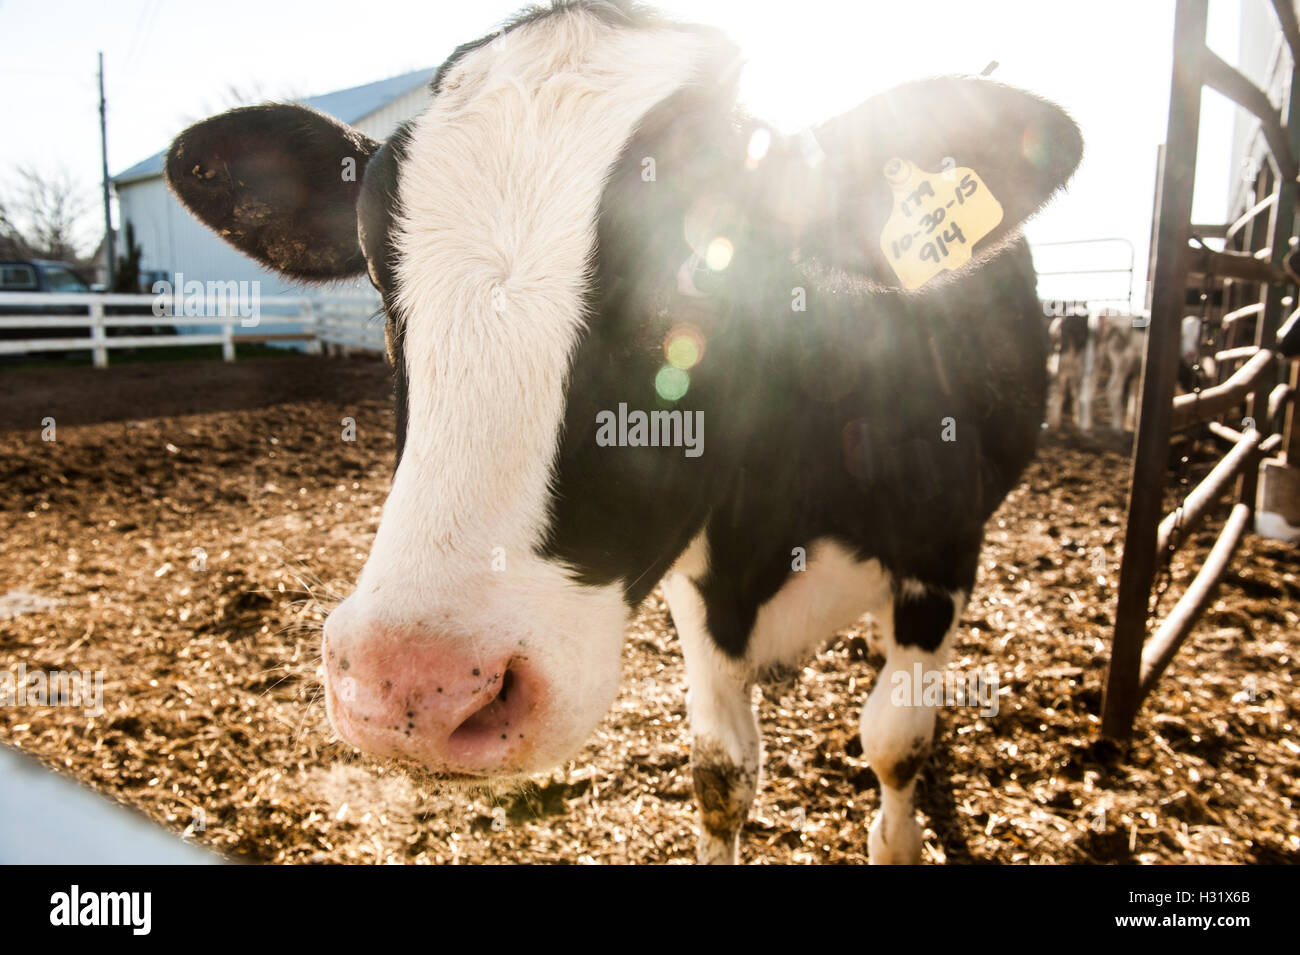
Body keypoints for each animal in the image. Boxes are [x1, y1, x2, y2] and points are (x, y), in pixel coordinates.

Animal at [166, 0, 1082, 864]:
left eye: (713, 260)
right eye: (375, 268)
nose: (411, 687)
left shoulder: (944, 549)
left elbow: (893, 742)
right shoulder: (700, 587)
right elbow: (721, 772)